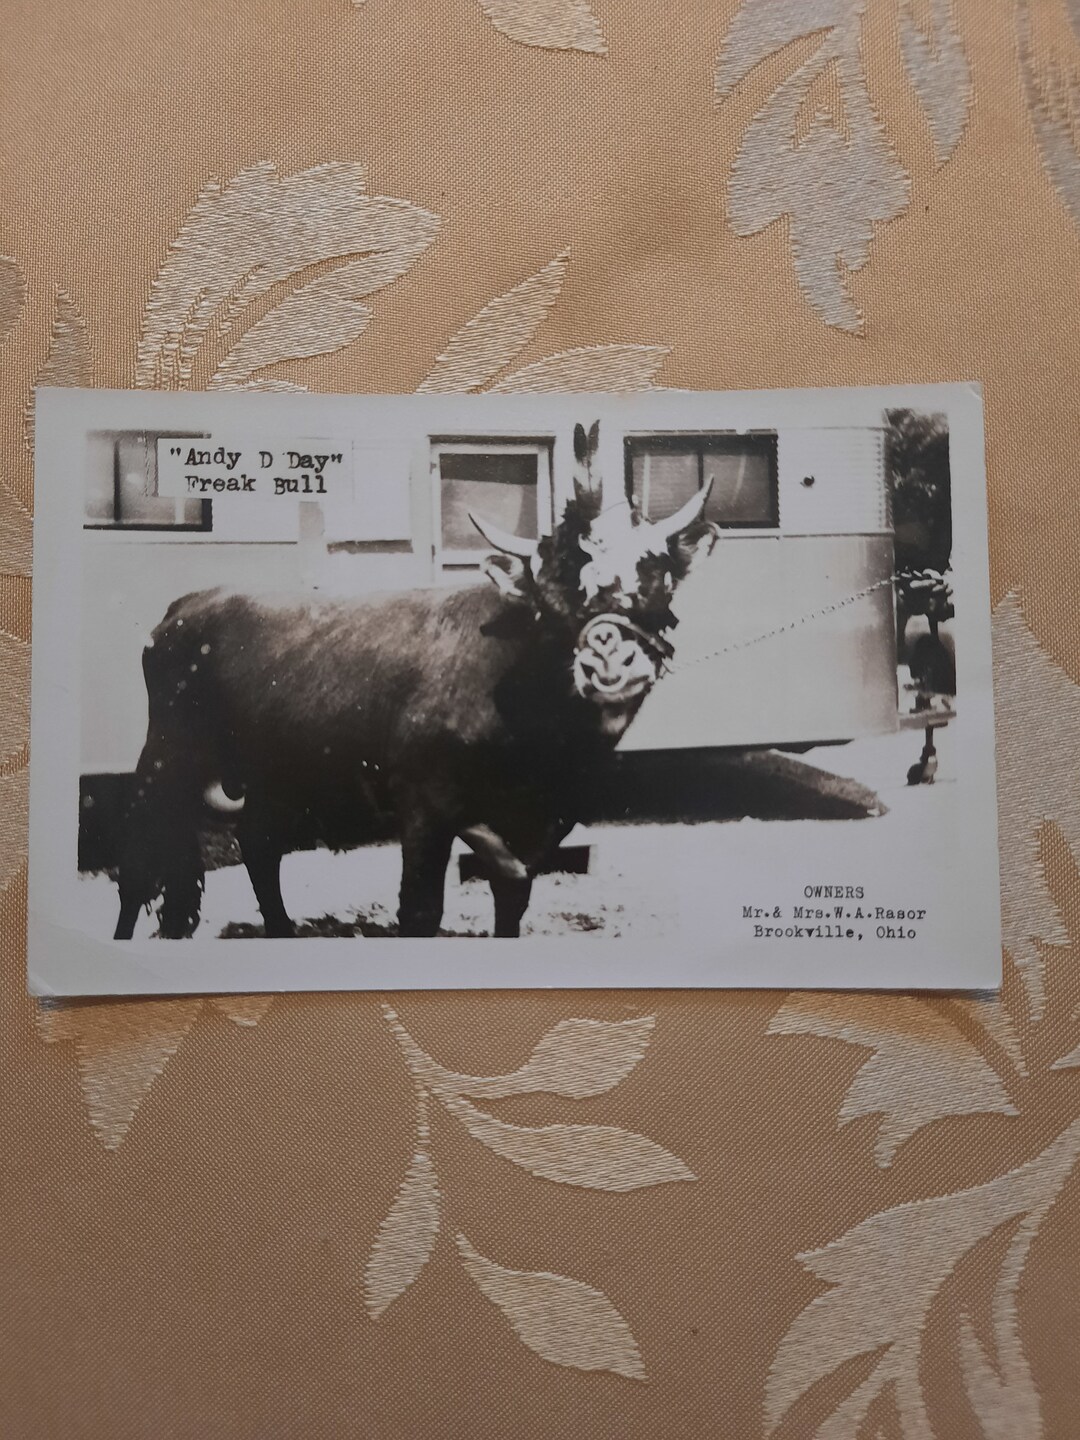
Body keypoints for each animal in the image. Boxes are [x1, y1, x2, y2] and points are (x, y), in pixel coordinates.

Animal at [112, 421, 716, 941]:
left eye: (659, 580)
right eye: (552, 599)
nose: (611, 661)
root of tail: (190, 603)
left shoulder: (541, 820)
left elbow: (513, 895)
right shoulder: (426, 801)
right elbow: (420, 909)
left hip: (276, 769)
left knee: (258, 845)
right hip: (165, 751)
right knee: (139, 866)